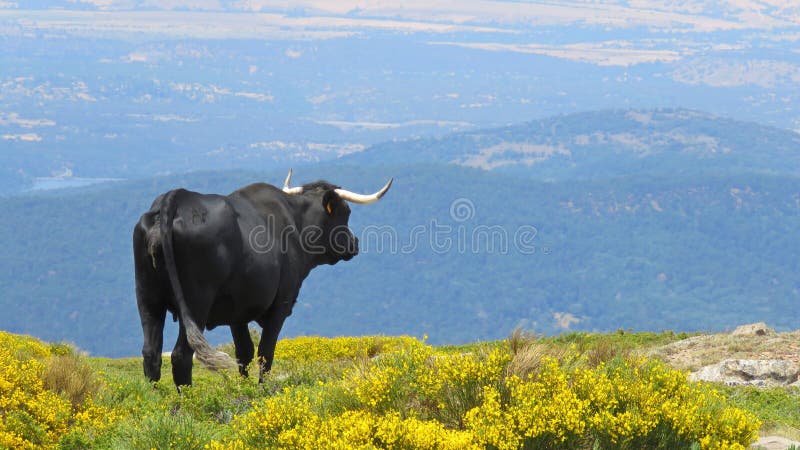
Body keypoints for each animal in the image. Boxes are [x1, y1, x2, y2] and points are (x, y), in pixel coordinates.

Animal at [133, 170, 392, 387]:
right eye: (345, 213)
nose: (354, 243)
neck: (295, 223)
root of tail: (175, 199)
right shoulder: (282, 304)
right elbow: (266, 352)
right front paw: (261, 390)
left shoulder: (237, 311)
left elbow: (244, 352)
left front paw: (245, 389)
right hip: (196, 302)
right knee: (181, 356)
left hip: (147, 298)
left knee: (151, 353)